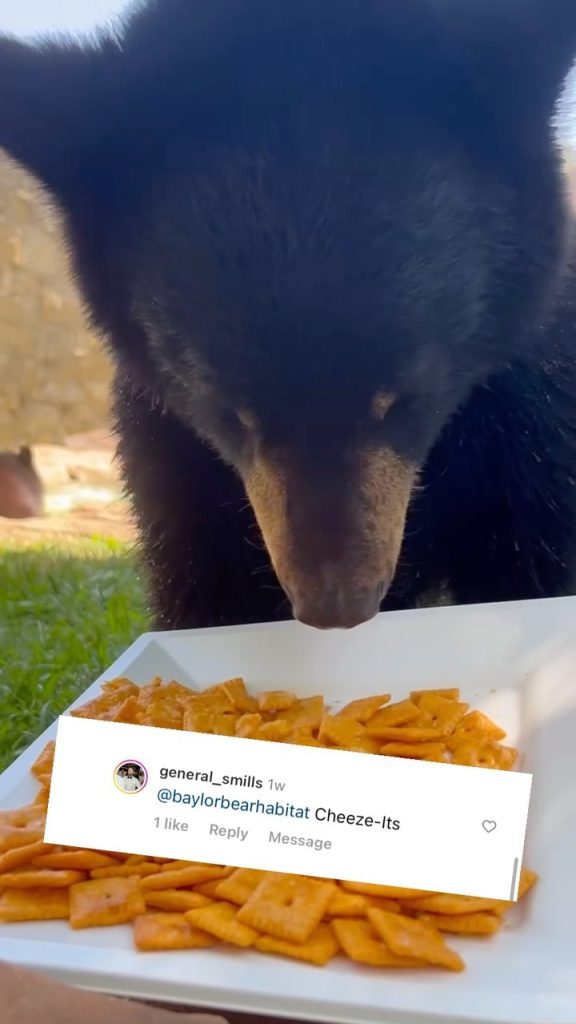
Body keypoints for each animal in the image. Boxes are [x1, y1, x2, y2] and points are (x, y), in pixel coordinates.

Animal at [1, 0, 576, 629]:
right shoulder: (172, 450)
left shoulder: (534, 423)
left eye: (405, 398)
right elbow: (201, 584)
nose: (336, 609)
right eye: (230, 415)